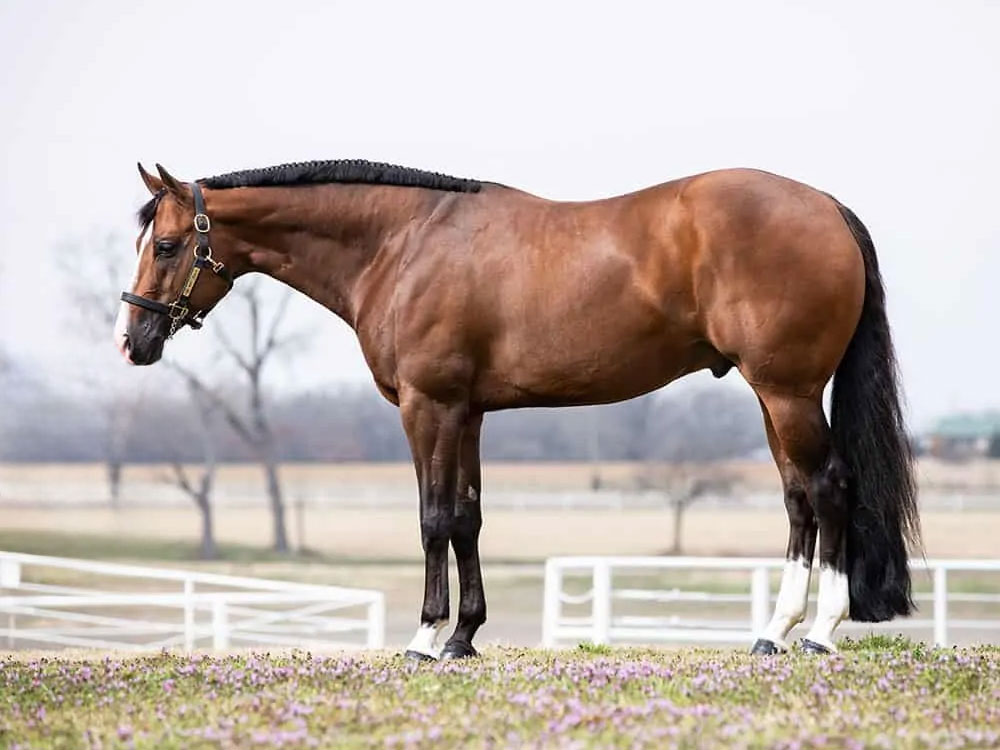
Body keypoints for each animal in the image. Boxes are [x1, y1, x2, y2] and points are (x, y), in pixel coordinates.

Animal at [116, 160, 919, 659]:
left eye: (167, 244)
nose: (133, 341)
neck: (402, 244)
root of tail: (827, 207)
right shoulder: (467, 413)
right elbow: (468, 517)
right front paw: (464, 638)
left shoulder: (428, 407)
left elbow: (434, 517)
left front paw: (424, 639)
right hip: (773, 397)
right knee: (798, 499)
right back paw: (773, 632)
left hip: (787, 392)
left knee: (829, 488)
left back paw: (819, 631)